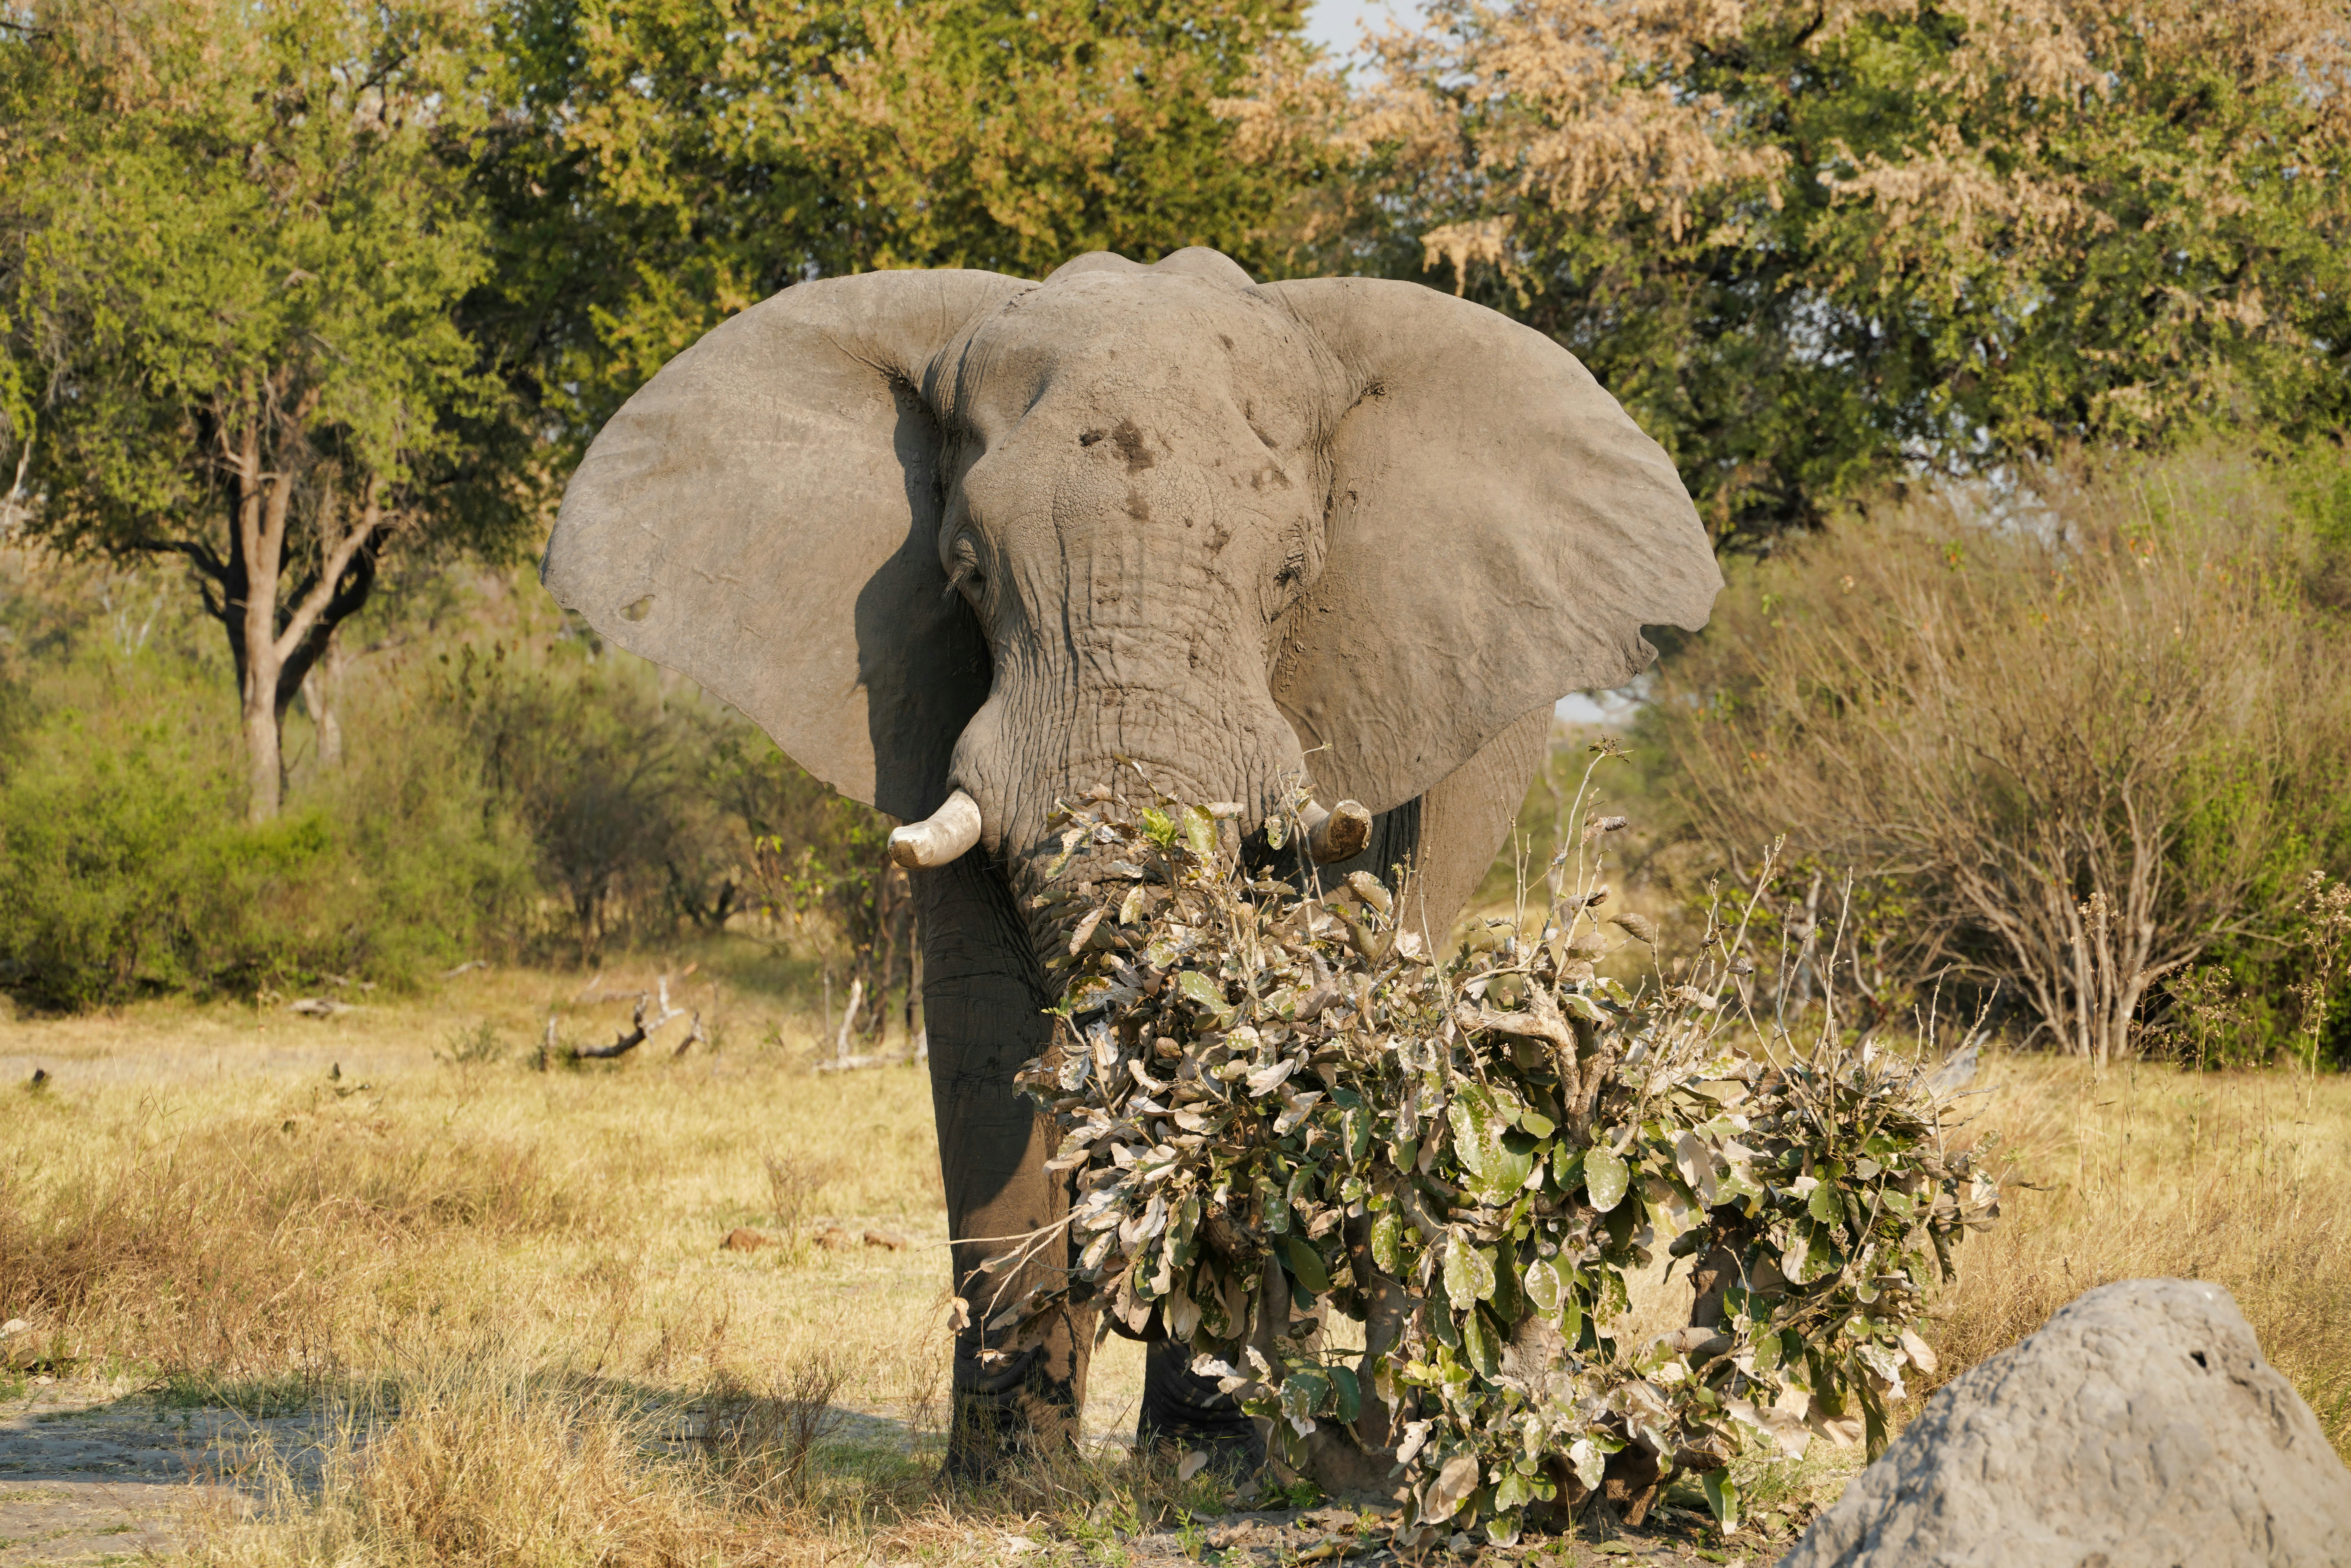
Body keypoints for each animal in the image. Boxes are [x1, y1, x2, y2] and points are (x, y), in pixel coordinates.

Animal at [540, 245, 1722, 1480]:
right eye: (966, 572)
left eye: (1292, 574)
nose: (1113, 1289)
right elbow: (980, 1015)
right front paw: (1011, 1479)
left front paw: (1208, 1463)